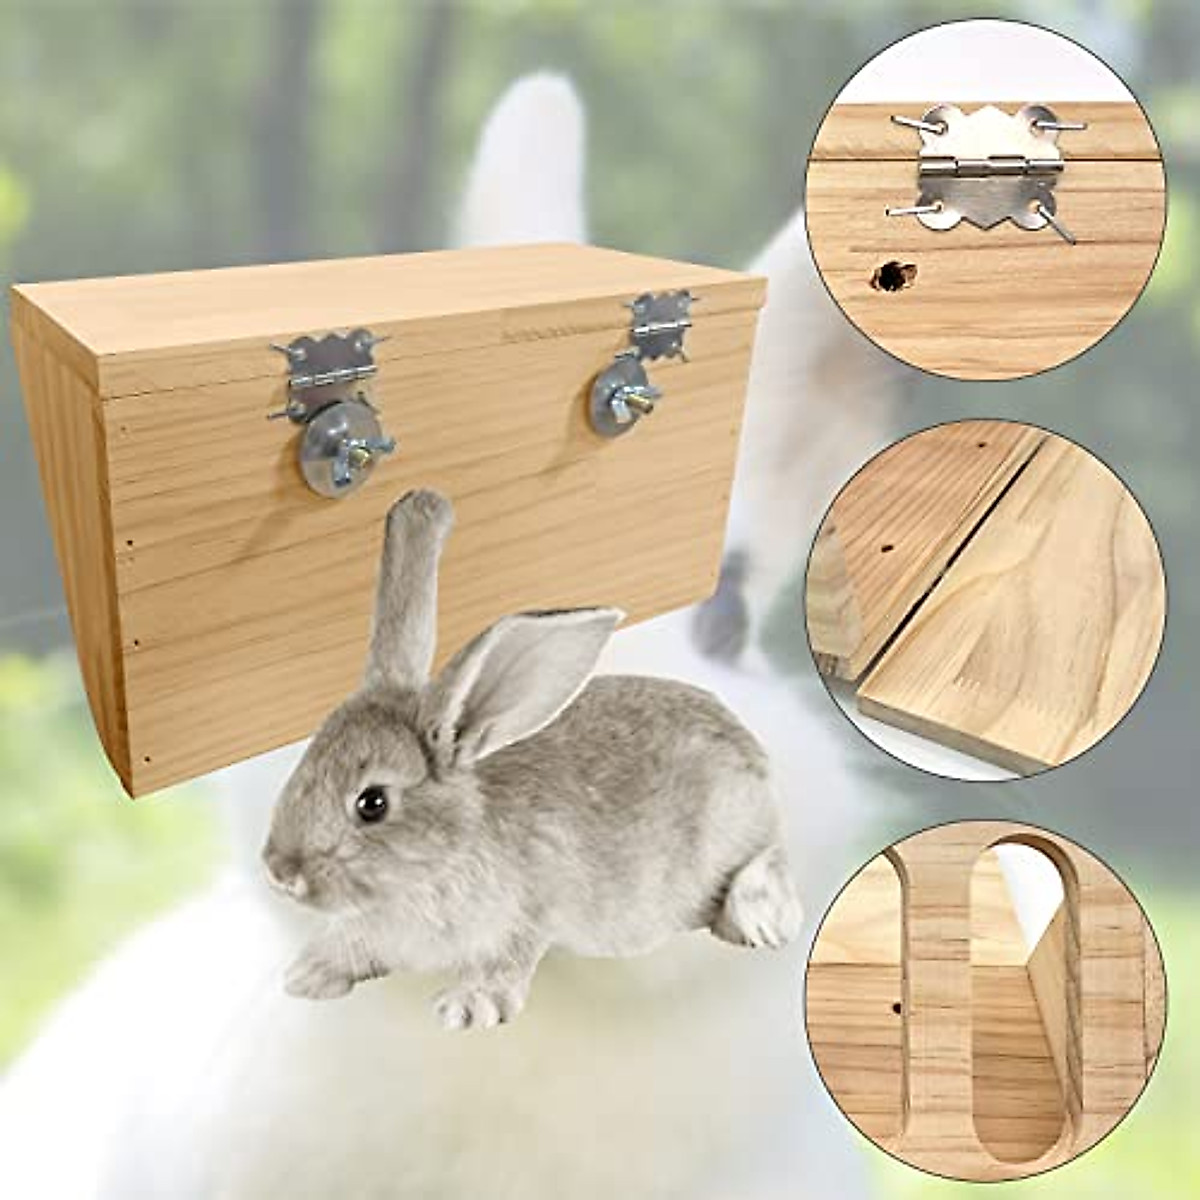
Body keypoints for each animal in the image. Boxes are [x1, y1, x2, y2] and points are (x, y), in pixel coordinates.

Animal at [263, 488, 803, 1029]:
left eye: (372, 803)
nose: (279, 872)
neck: (444, 856)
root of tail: (754, 752)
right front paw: (307, 975)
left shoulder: (521, 921)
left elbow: (505, 963)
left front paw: (464, 1008)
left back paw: (759, 920)